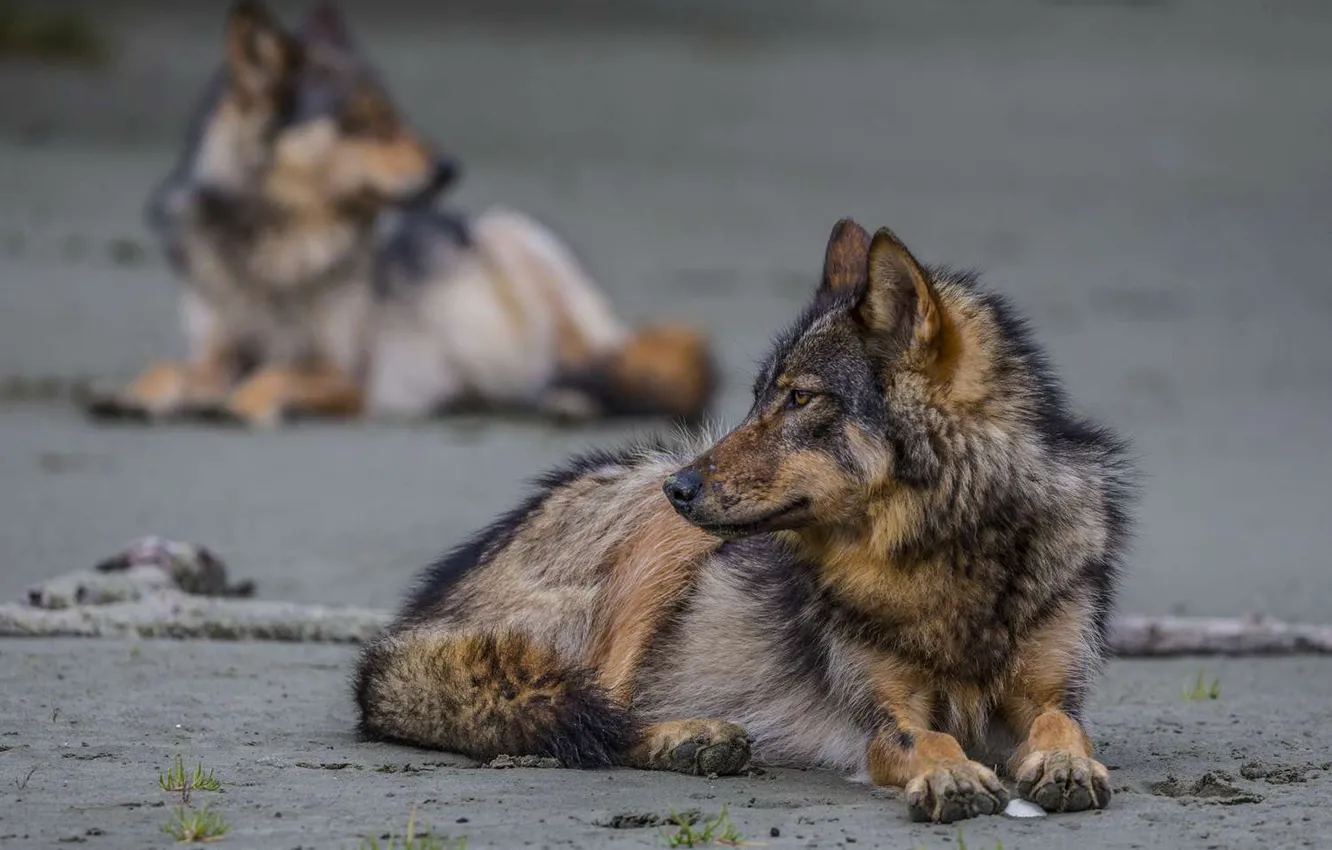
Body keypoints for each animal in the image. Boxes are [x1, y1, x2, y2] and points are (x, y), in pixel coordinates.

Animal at [87, 2, 714, 427]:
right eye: (364, 121)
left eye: (397, 114)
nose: (449, 167)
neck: (278, 242)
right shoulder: (215, 347)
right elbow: (174, 368)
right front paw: (136, 392)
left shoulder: (348, 375)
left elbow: (274, 373)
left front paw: (239, 401)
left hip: (513, 239)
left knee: (626, 368)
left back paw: (571, 398)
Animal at [353, 218, 1134, 823]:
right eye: (758, 397)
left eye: (799, 398)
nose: (679, 488)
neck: (946, 550)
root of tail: (419, 618)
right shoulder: (882, 713)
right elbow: (925, 740)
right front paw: (951, 773)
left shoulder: (1052, 687)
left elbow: (1064, 723)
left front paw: (1064, 764)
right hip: (660, 554)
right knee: (591, 710)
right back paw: (690, 738)